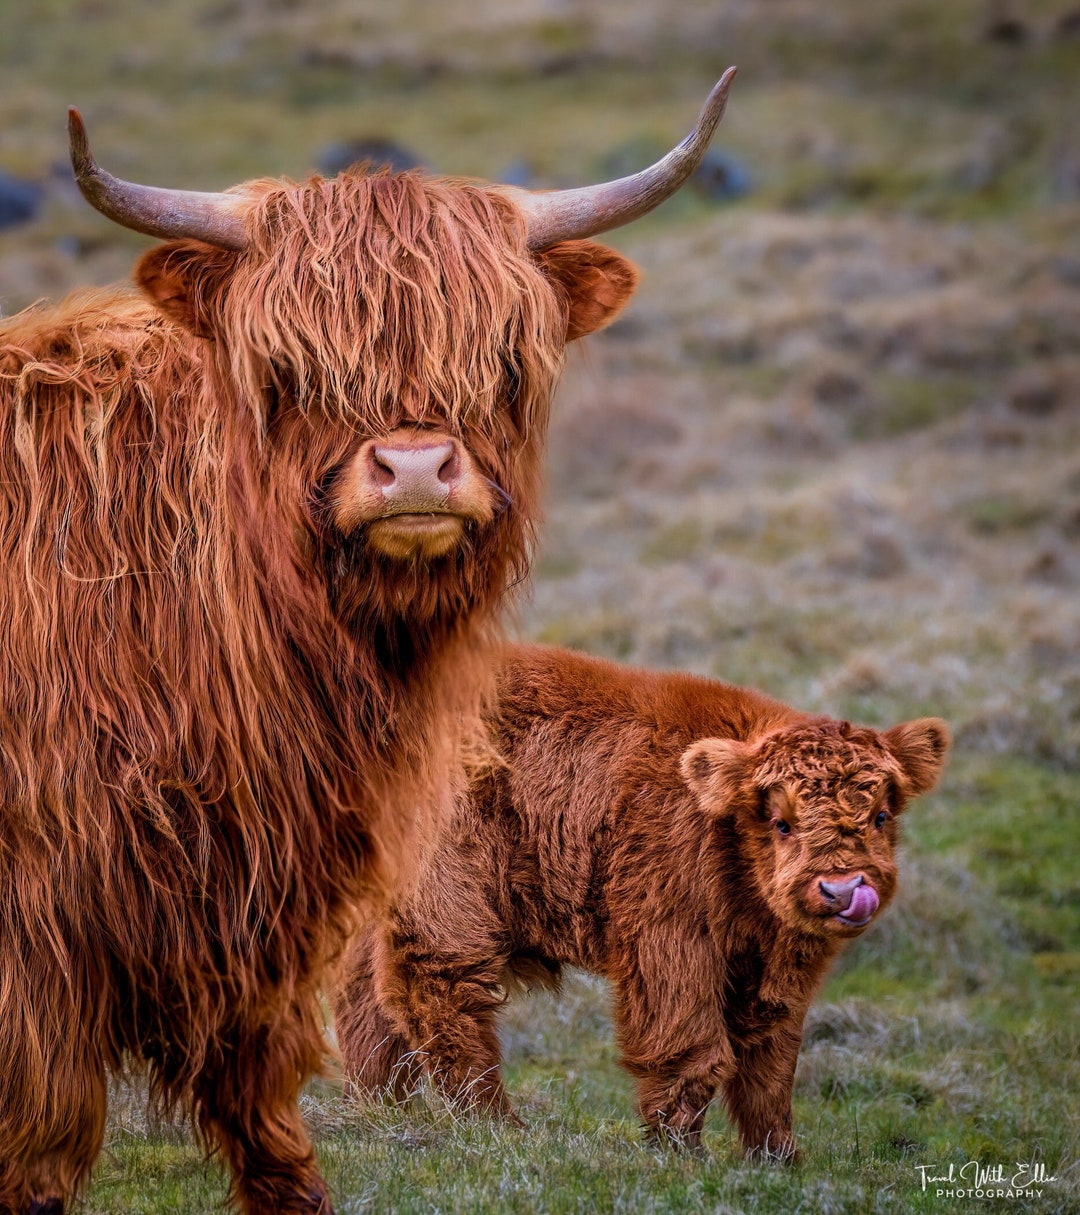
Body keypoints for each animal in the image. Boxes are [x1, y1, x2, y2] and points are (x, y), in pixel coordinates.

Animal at [0, 71, 736, 1215]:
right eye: (291, 365)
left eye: (503, 360)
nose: (418, 469)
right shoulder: (45, 916)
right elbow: (42, 1123)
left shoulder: (252, 890)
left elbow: (258, 1088)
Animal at [334, 643, 949, 1159]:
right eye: (781, 821)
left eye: (881, 816)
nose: (843, 888)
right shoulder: (669, 942)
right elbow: (692, 1049)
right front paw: (680, 1152)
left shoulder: (779, 973)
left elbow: (771, 1068)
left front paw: (777, 1158)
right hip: (445, 895)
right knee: (440, 992)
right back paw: (496, 1125)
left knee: (367, 1002)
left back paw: (382, 1108)